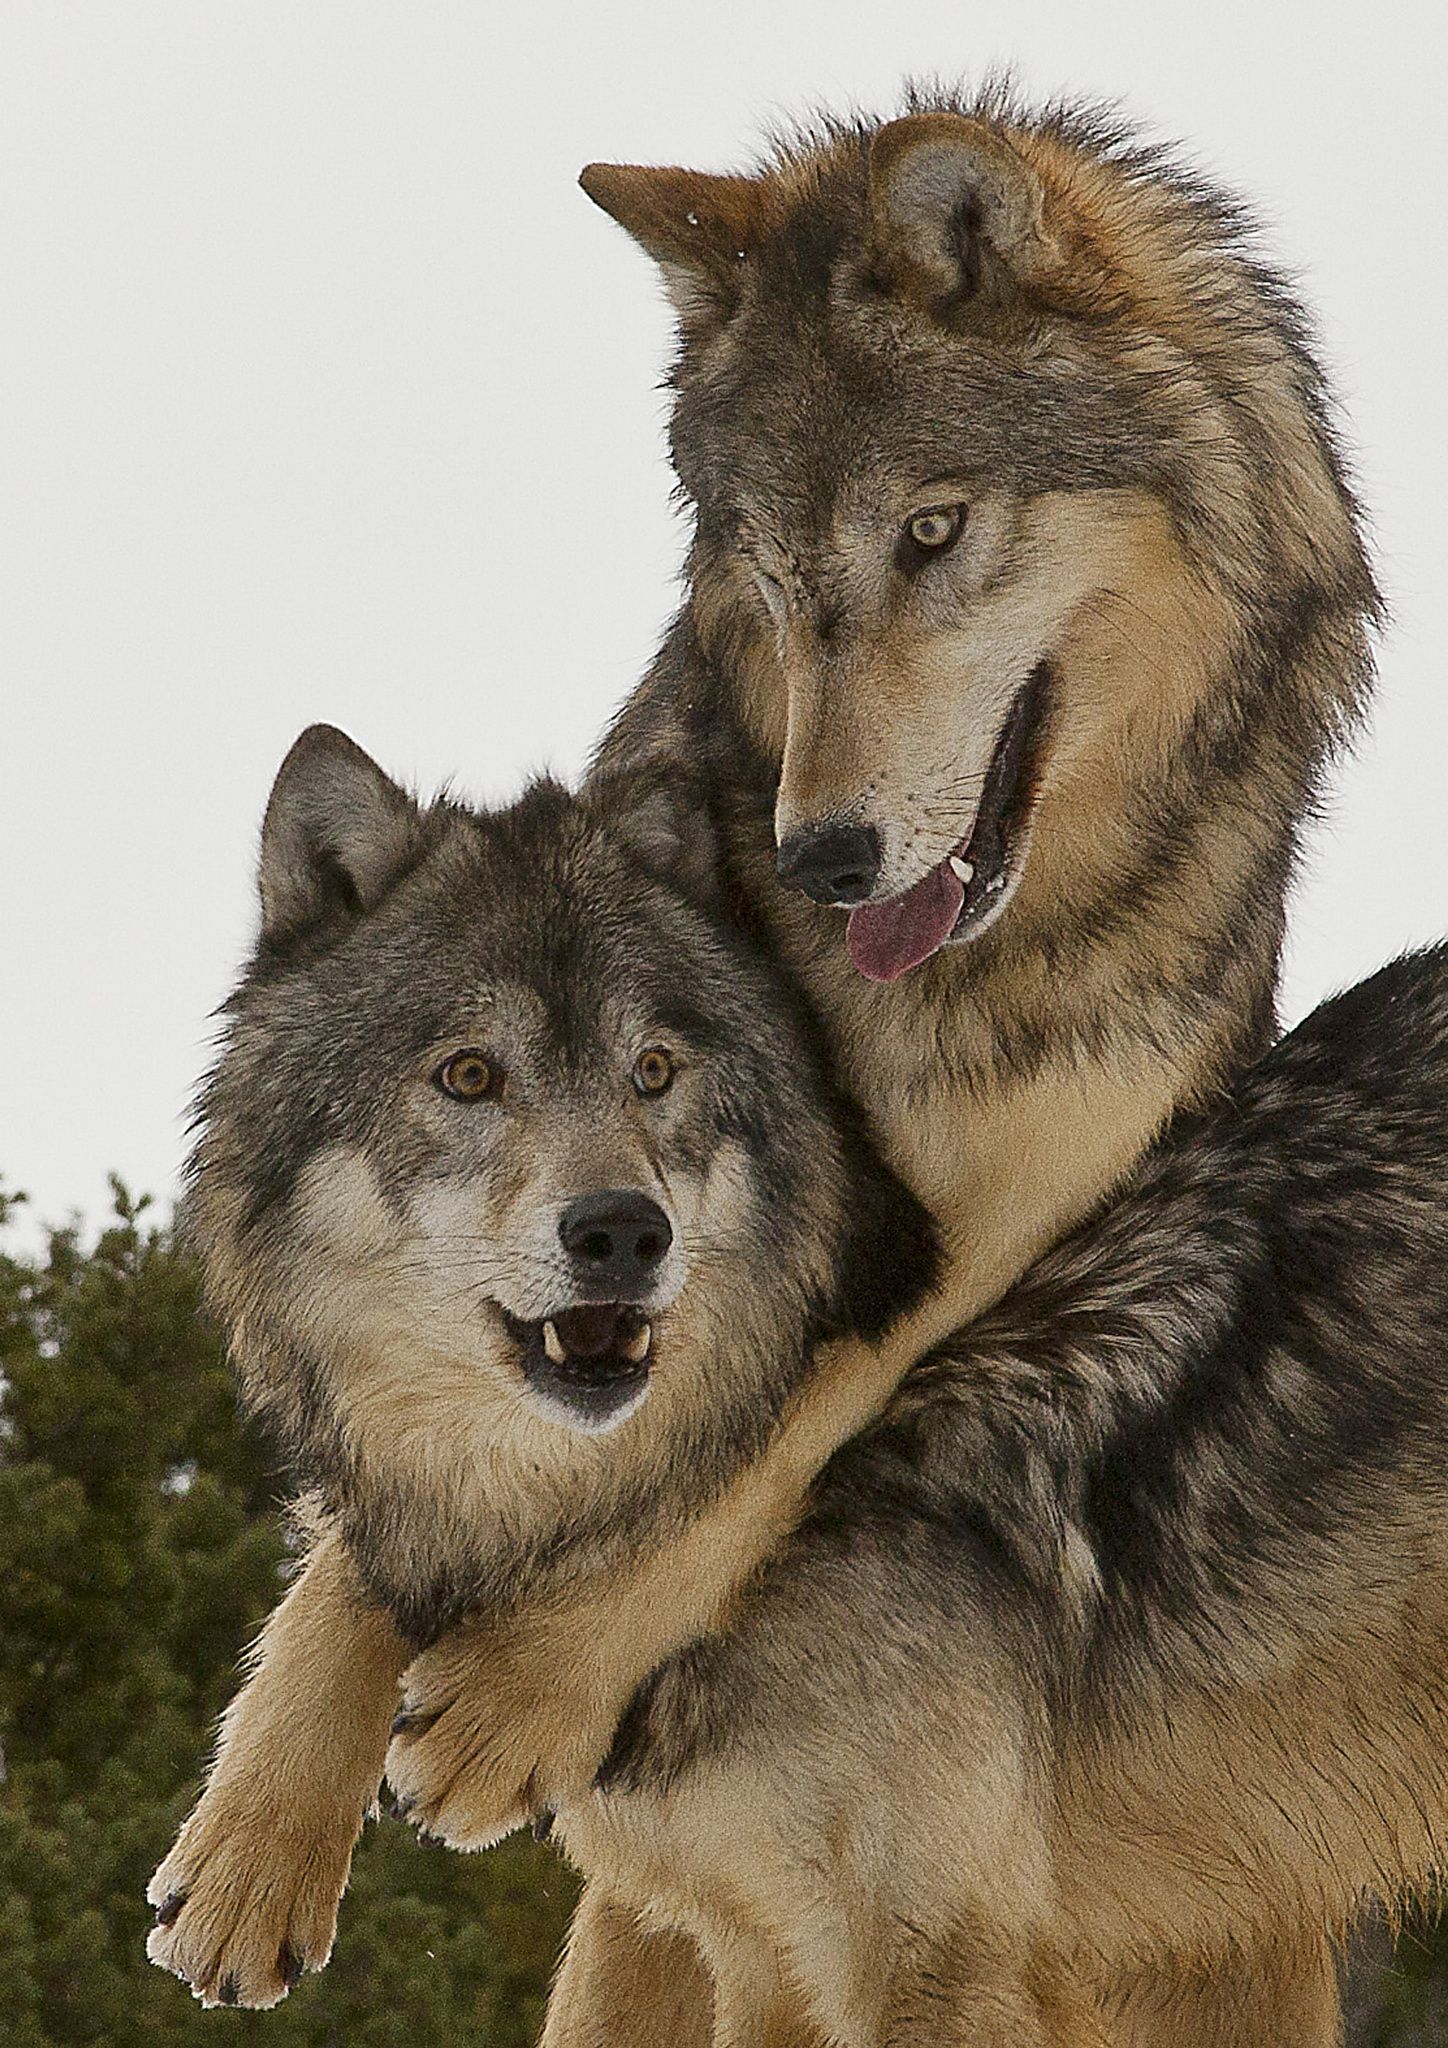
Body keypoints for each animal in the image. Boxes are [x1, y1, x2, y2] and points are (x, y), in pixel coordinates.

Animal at [151, 86, 1379, 2036]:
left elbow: (775, 1411)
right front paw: (267, 1823)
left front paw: (517, 1694)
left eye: (933, 530)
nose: (818, 857)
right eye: (774, 575)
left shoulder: (1003, 1218)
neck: (931, 993)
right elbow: (386, 1504)